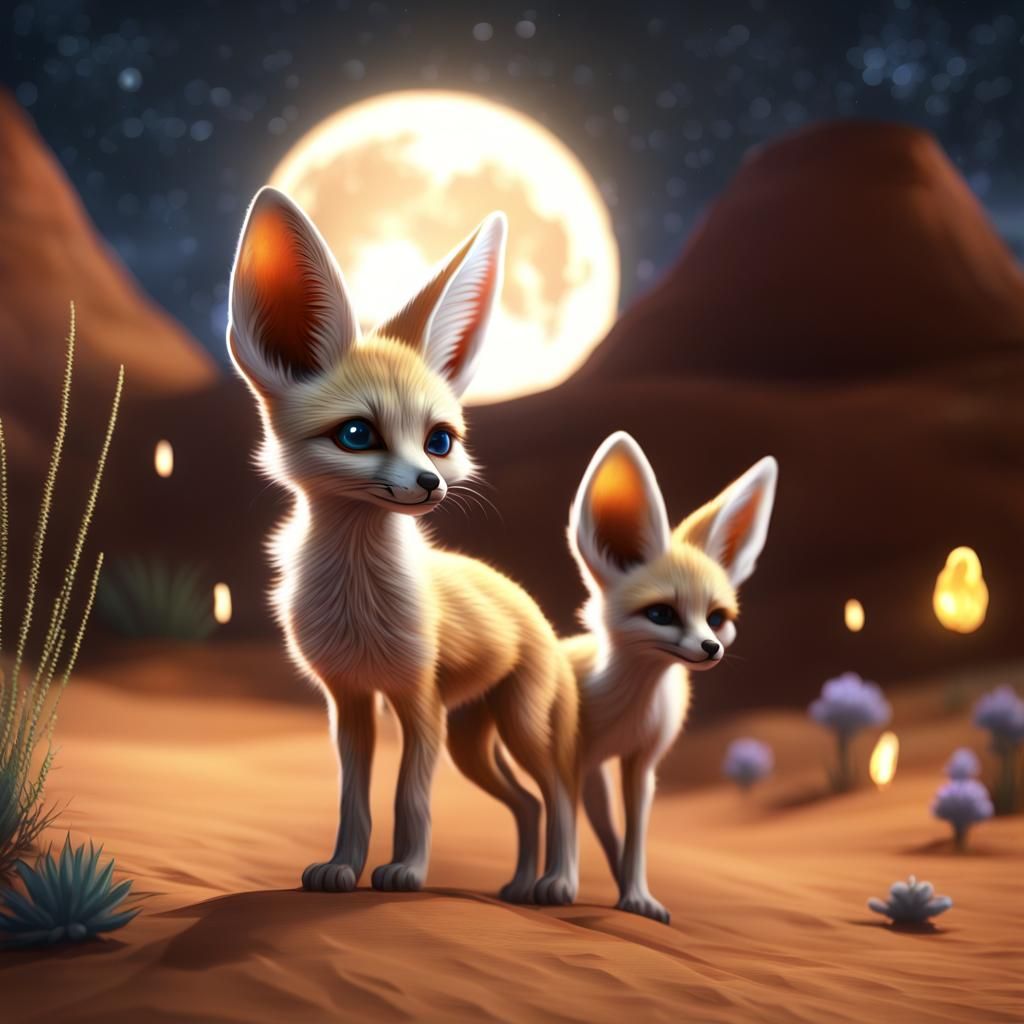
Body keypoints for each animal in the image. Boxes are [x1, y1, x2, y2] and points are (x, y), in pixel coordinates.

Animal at [226, 186, 579, 904]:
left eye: (439, 439)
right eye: (357, 434)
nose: (429, 484)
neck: (358, 600)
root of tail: (529, 603)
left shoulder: (417, 700)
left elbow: (409, 799)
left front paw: (407, 874)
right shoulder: (349, 702)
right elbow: (353, 799)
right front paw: (340, 868)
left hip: (515, 728)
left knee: (557, 794)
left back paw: (556, 883)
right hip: (473, 740)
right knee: (527, 803)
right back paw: (518, 884)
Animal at [563, 432, 777, 923]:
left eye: (716, 619)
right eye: (661, 614)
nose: (711, 647)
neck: (629, 705)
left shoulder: (641, 763)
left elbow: (634, 835)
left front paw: (636, 897)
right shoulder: (573, 756)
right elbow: (567, 823)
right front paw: (557, 883)